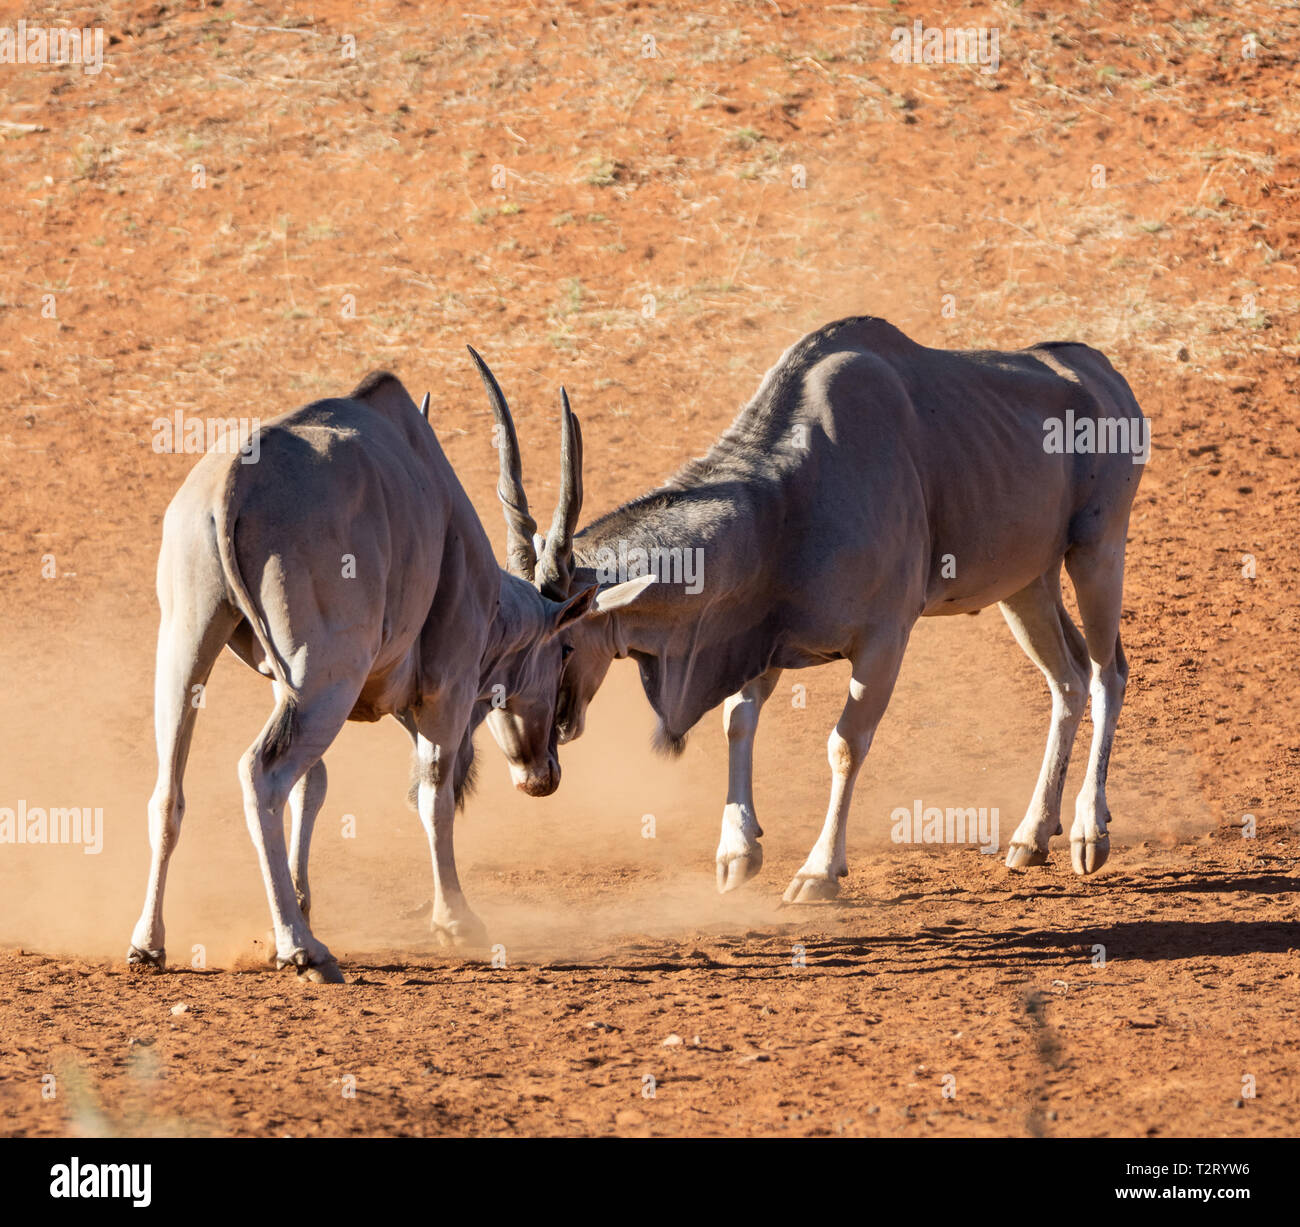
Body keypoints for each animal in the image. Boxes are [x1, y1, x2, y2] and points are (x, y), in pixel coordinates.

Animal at [127, 358, 651, 982]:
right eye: (566, 650)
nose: (542, 773)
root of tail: (234, 481)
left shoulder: (283, 686)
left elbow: (314, 787)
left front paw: (299, 905)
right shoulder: (446, 690)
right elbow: (434, 789)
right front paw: (457, 923)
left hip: (189, 650)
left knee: (169, 789)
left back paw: (150, 943)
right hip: (326, 680)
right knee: (261, 773)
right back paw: (303, 950)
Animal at [516, 316, 1146, 901]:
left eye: (565, 642)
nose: (546, 741)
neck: (783, 501)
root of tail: (1104, 375)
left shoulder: (883, 642)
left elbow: (845, 744)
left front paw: (819, 871)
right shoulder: (758, 642)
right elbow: (737, 721)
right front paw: (738, 853)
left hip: (1097, 554)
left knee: (1106, 674)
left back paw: (1089, 833)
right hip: (1025, 586)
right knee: (1067, 678)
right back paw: (1031, 836)